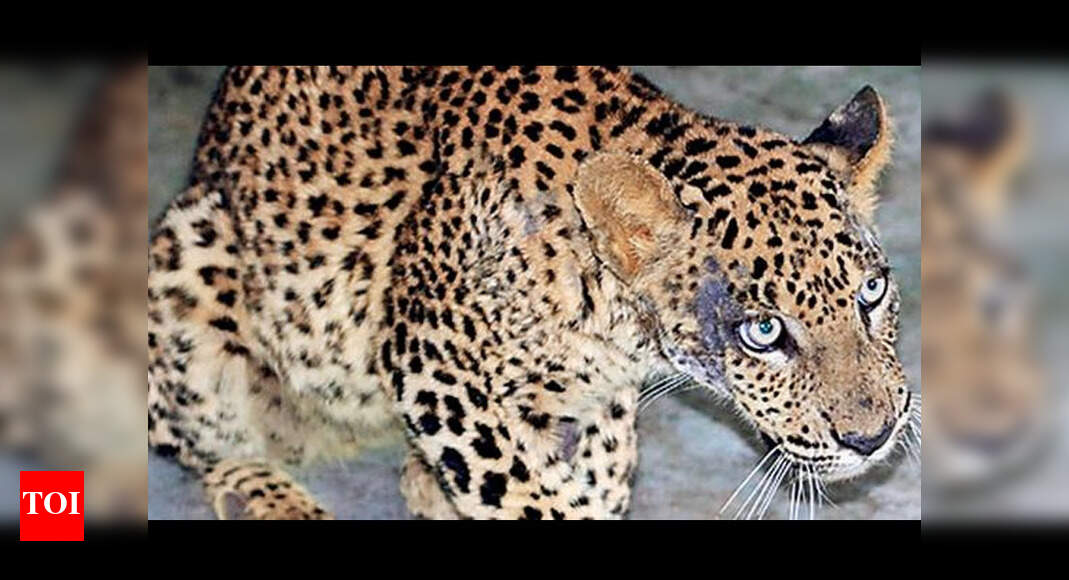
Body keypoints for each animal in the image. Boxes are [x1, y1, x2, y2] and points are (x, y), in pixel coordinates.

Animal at [148, 66, 916, 520]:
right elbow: (524, 493)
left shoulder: (595, 397)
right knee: (207, 445)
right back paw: (265, 498)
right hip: (189, 250)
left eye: (872, 291)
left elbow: (604, 467)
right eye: (763, 331)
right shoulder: (434, 359)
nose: (873, 438)